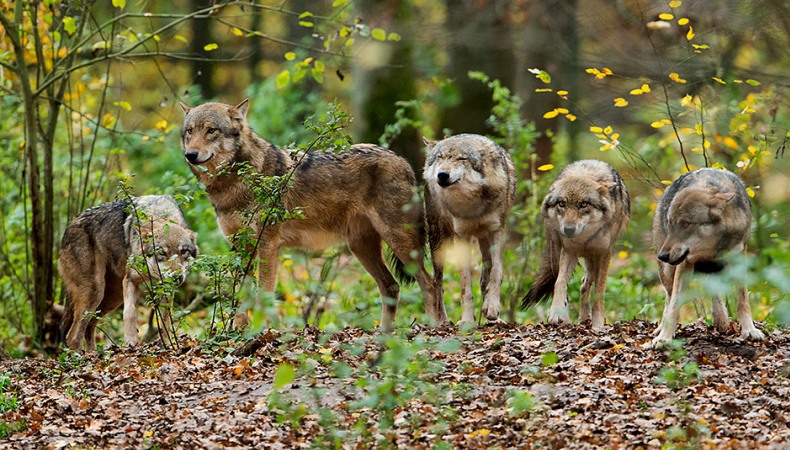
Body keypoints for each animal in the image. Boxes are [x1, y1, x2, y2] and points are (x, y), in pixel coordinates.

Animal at [60, 195, 197, 351]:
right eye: (162, 253)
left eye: (184, 251)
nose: (177, 278)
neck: (161, 215)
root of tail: (70, 225)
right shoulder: (130, 280)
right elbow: (130, 312)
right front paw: (132, 342)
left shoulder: (166, 288)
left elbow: (166, 319)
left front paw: (169, 344)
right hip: (95, 292)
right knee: (72, 336)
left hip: (112, 296)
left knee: (89, 326)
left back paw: (93, 353)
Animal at [178, 99, 447, 330]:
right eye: (190, 131)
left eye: (211, 130)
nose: (190, 155)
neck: (233, 184)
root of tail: (404, 161)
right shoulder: (239, 245)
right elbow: (241, 294)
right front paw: (237, 332)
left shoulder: (267, 243)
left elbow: (263, 293)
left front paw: (263, 332)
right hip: (360, 247)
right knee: (392, 287)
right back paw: (385, 334)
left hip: (399, 243)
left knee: (430, 283)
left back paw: (431, 328)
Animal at [423, 134, 516, 324]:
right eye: (440, 158)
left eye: (461, 159)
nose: (442, 175)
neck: (471, 205)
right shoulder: (461, 236)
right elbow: (465, 285)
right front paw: (466, 320)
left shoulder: (498, 231)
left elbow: (497, 272)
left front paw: (492, 308)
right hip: (439, 242)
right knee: (437, 282)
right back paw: (443, 320)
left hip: (484, 243)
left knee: (484, 277)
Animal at [521, 160, 630, 329]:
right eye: (561, 203)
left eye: (584, 204)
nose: (568, 230)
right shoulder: (569, 250)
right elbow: (560, 282)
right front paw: (556, 314)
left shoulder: (604, 253)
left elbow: (600, 290)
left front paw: (598, 324)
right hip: (557, 254)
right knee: (568, 282)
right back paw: (569, 318)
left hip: (592, 260)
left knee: (585, 284)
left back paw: (584, 318)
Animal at [648, 168, 765, 348]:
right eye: (670, 223)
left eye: (685, 224)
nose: (662, 256)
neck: (713, 246)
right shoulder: (685, 262)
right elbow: (674, 305)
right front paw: (664, 338)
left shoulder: (739, 258)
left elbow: (742, 301)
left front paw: (749, 330)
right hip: (667, 272)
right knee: (668, 297)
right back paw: (660, 329)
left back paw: (721, 320)